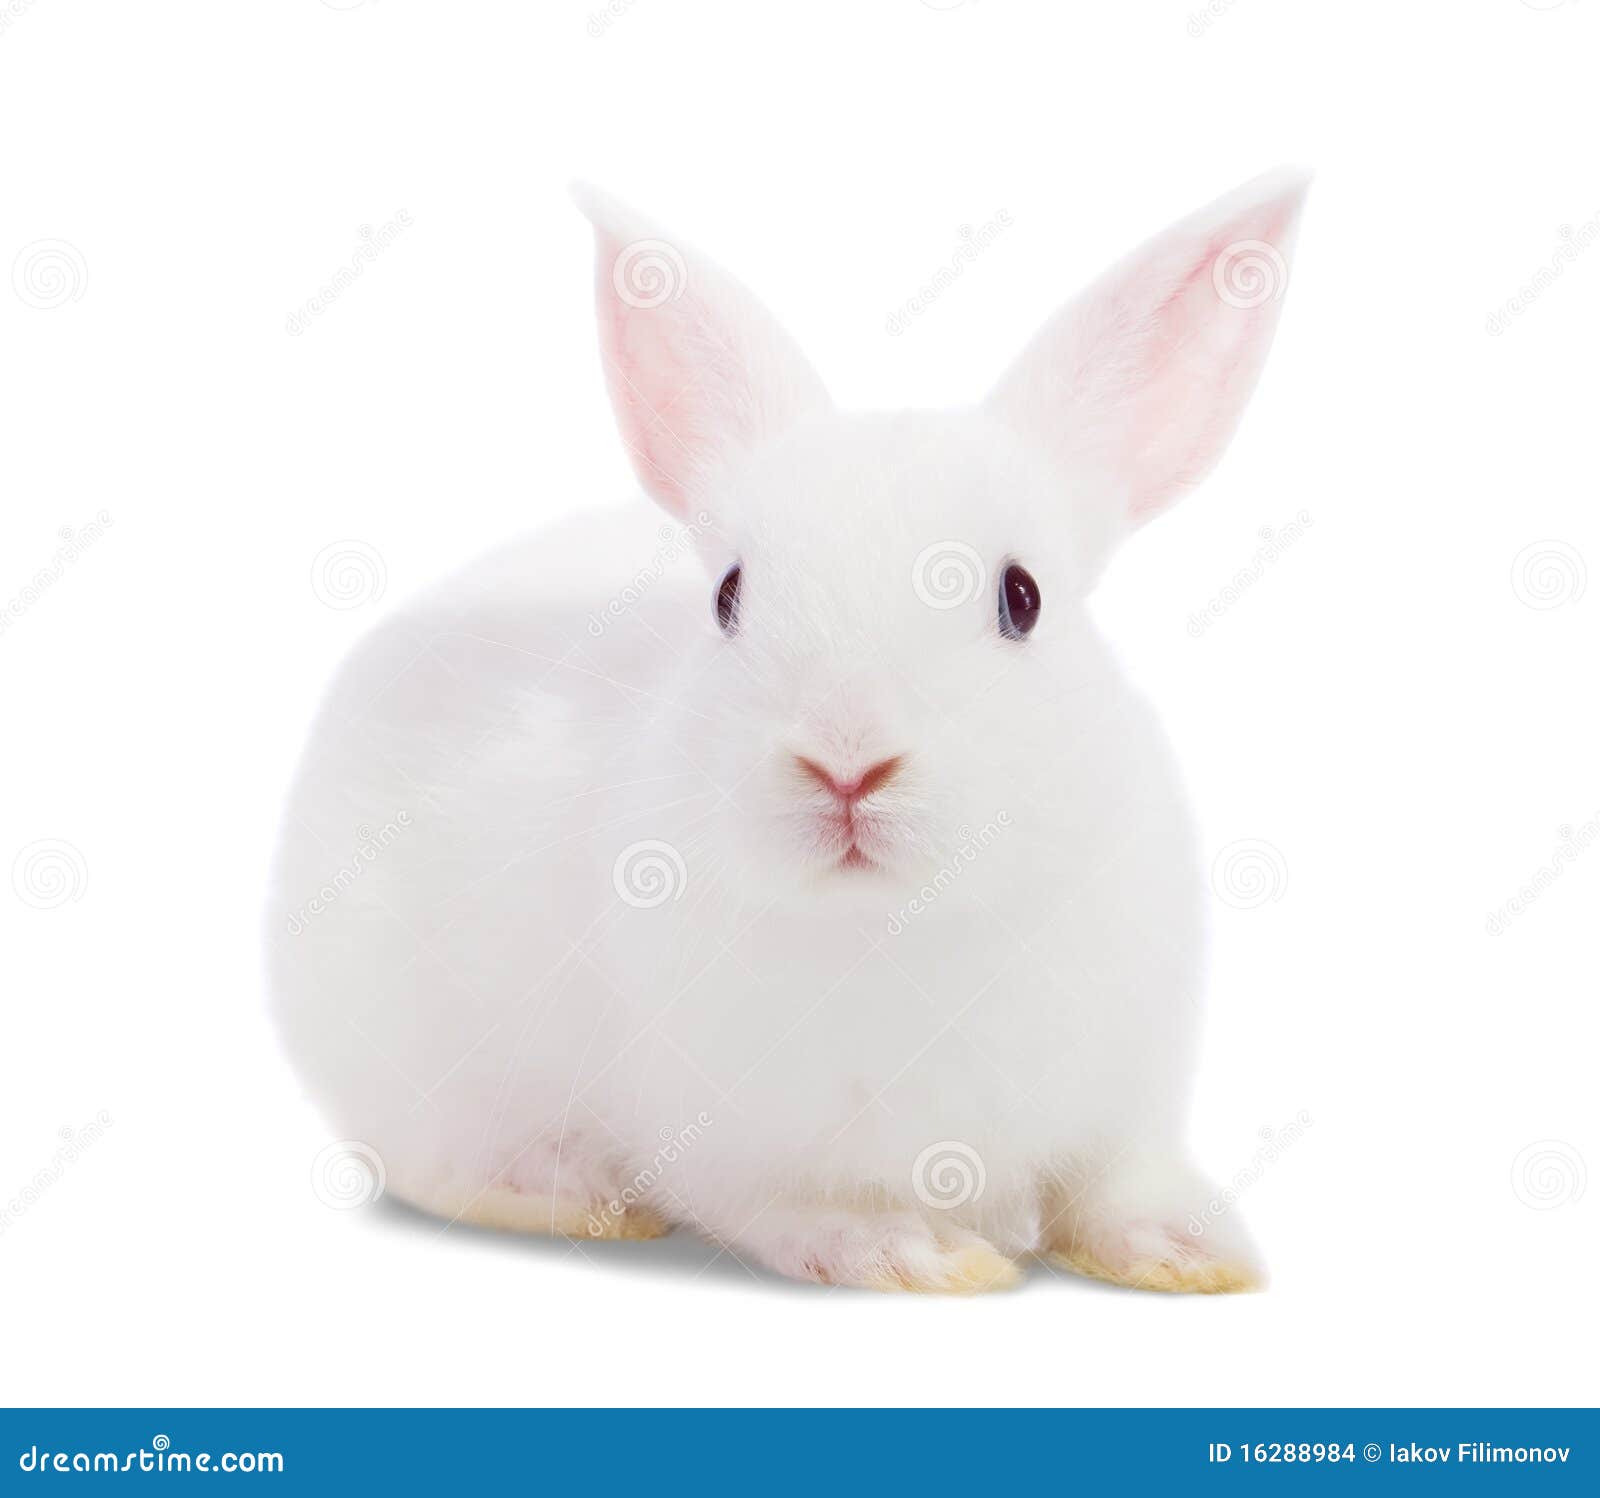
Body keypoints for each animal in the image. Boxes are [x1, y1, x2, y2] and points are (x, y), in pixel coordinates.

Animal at [268, 168, 1308, 1293]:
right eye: (728, 595)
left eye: (1021, 597)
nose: (846, 763)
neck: (891, 929)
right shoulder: (729, 1149)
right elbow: (802, 1213)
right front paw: (923, 1257)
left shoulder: (1124, 1094)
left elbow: (1115, 1185)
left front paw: (1195, 1253)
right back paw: (573, 1201)